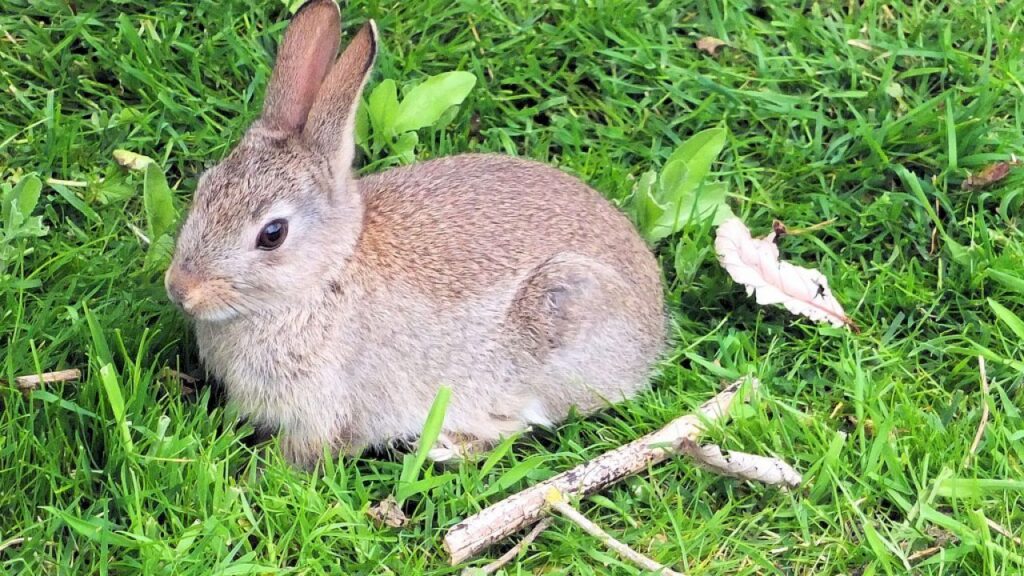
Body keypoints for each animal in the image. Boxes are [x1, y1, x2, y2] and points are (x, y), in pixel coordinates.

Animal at [164, 0, 666, 468]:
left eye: (272, 233)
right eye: (205, 187)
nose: (180, 289)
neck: (325, 275)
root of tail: (654, 326)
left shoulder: (325, 410)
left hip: (559, 313)